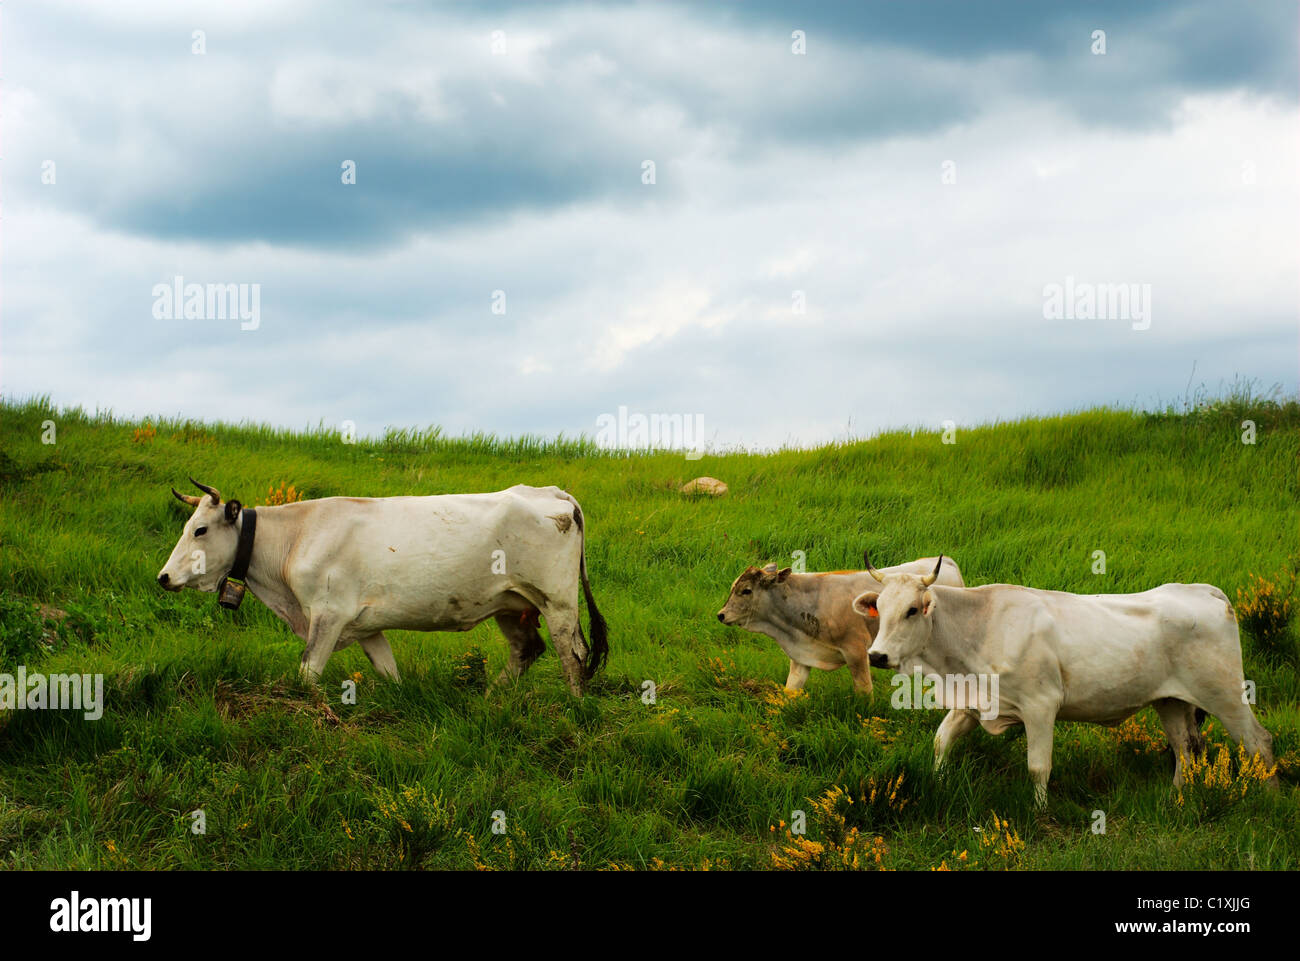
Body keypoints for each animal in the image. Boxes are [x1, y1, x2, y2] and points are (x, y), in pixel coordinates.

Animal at [157, 479, 608, 695]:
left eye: (200, 530)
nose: (163, 577)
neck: (297, 537)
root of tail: (552, 492)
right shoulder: (366, 626)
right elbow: (389, 672)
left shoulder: (328, 615)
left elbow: (307, 673)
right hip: (511, 605)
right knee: (526, 650)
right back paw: (490, 697)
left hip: (557, 602)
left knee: (573, 654)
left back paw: (574, 705)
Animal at [716, 555, 964, 695]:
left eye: (746, 590)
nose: (721, 615)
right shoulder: (801, 657)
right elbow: (791, 689)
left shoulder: (857, 651)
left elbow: (864, 692)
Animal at [851, 554, 1277, 806]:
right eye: (880, 609)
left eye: (911, 610)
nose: (878, 655)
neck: (979, 628)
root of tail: (1204, 590)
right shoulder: (973, 703)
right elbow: (941, 742)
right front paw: (939, 784)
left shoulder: (1040, 707)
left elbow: (1038, 766)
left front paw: (1039, 810)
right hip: (1170, 701)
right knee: (1185, 748)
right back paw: (1174, 798)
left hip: (1225, 695)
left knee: (1258, 741)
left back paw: (1269, 795)